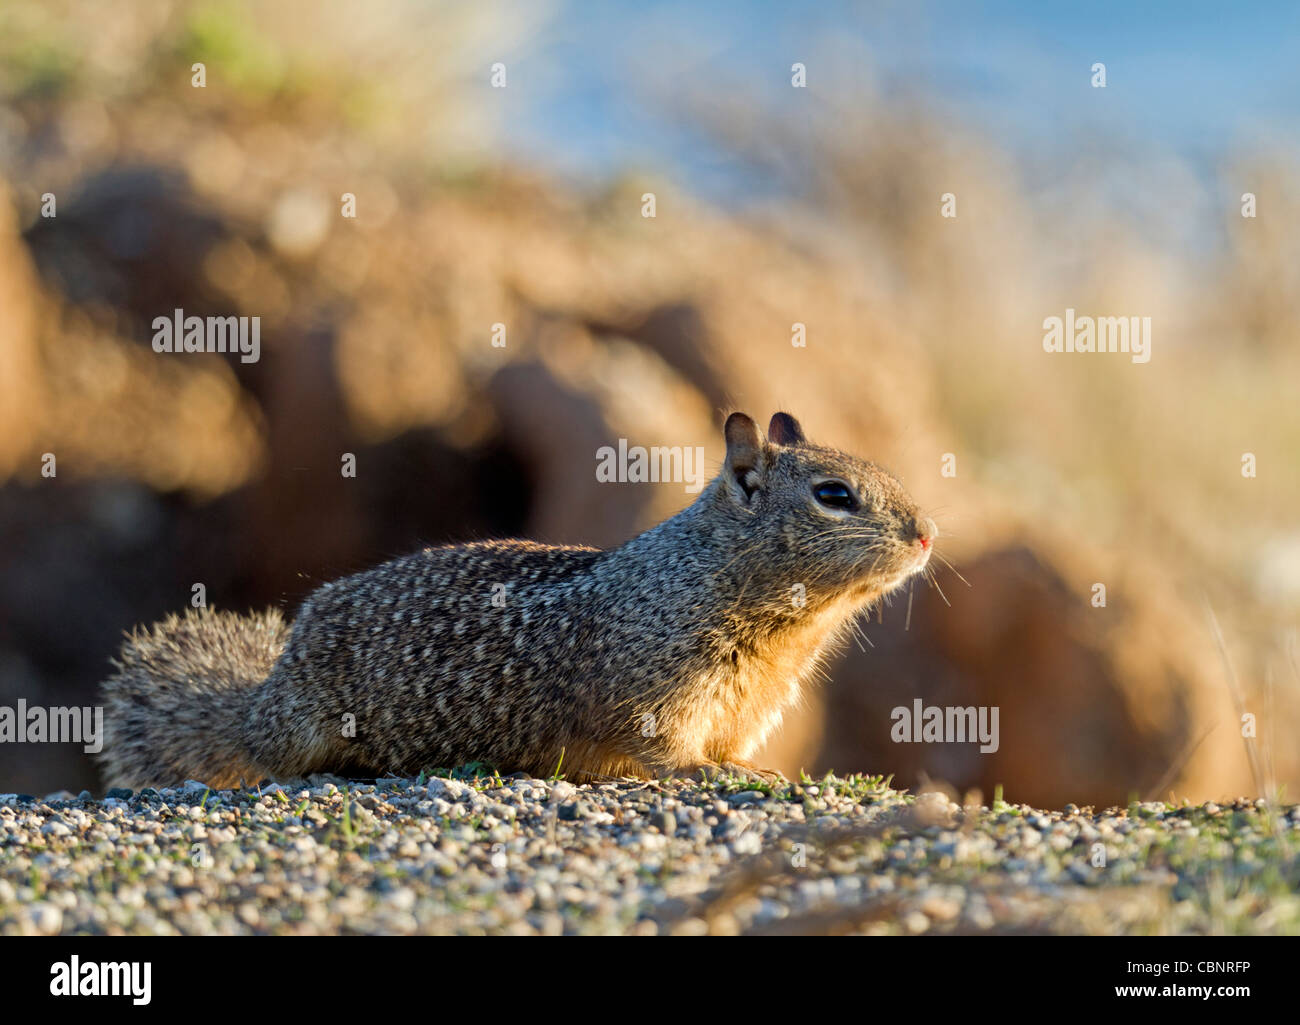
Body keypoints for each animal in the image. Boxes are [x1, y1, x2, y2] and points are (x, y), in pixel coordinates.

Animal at [97, 411, 936, 790]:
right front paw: (704, 774)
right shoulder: (658, 686)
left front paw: (753, 770)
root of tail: (263, 693)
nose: (928, 533)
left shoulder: (747, 702)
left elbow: (731, 745)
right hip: (304, 723)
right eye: (834, 494)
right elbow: (664, 747)